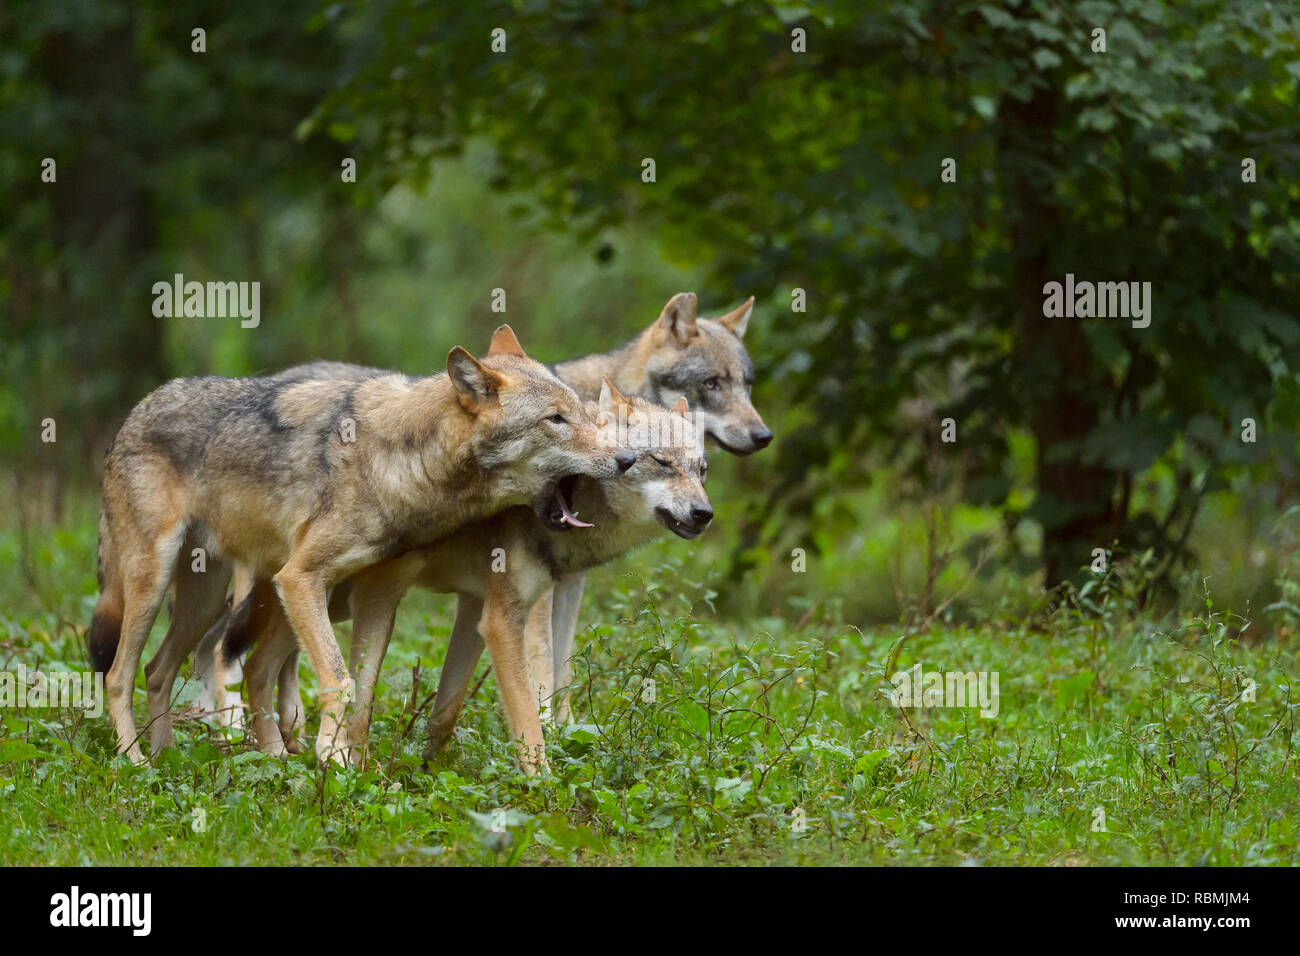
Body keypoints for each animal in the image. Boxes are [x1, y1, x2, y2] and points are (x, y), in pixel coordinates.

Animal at [88, 326, 631, 765]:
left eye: (584, 414)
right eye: (556, 419)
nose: (627, 458)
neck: (402, 462)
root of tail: (135, 411)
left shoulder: (378, 593)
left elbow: (365, 693)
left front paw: (355, 769)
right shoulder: (300, 578)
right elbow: (340, 681)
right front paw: (332, 760)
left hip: (204, 600)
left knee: (158, 670)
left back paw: (170, 760)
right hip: (154, 585)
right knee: (117, 674)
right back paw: (136, 763)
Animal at [221, 382, 710, 772]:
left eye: (701, 470)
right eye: (661, 463)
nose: (704, 513)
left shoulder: (477, 609)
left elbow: (448, 708)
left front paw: (428, 768)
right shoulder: (507, 618)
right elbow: (531, 711)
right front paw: (544, 787)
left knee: (260, 666)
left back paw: (278, 754)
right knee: (237, 660)